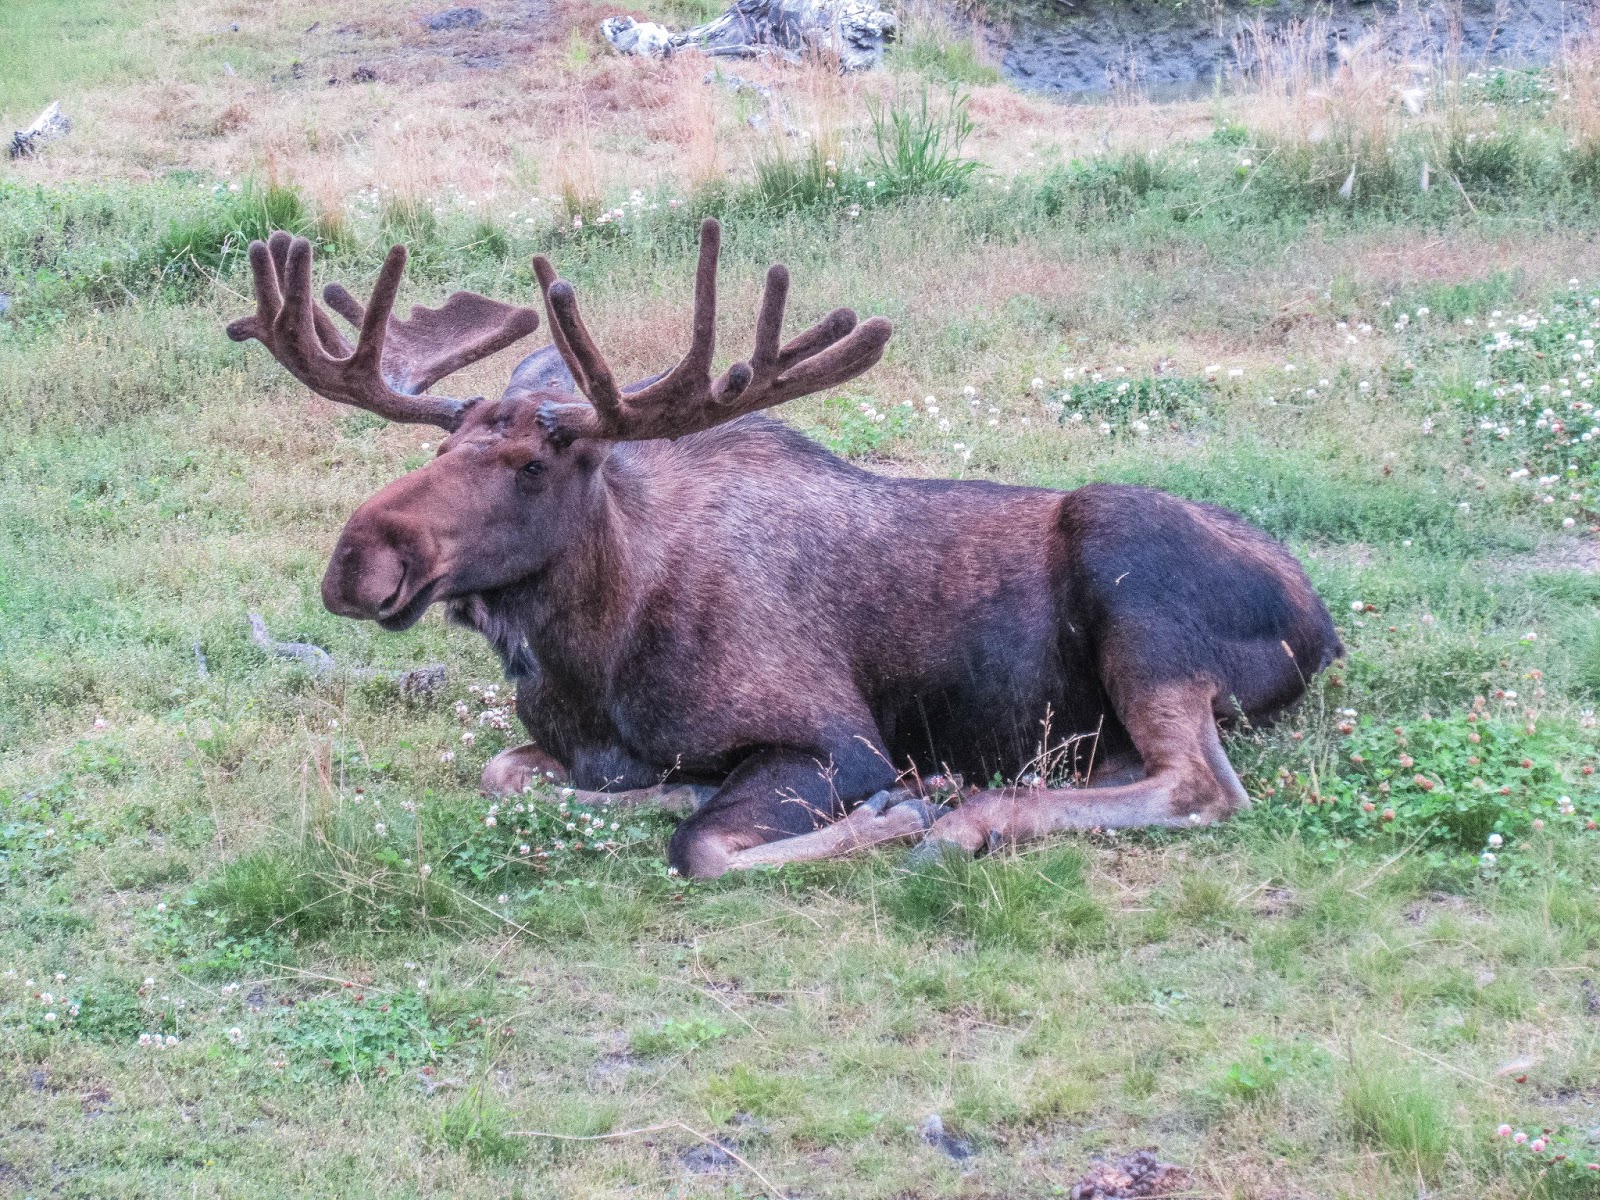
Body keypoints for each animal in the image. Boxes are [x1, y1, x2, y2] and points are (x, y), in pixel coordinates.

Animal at [227, 220, 1341, 878]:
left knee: (1198, 784)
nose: (357, 559)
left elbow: (704, 847)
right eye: (442, 446)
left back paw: (971, 814)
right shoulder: (562, 749)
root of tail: (1325, 628)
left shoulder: (838, 738)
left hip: (1133, 585)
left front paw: (903, 809)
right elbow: (519, 773)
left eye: (532, 465)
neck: (593, 654)